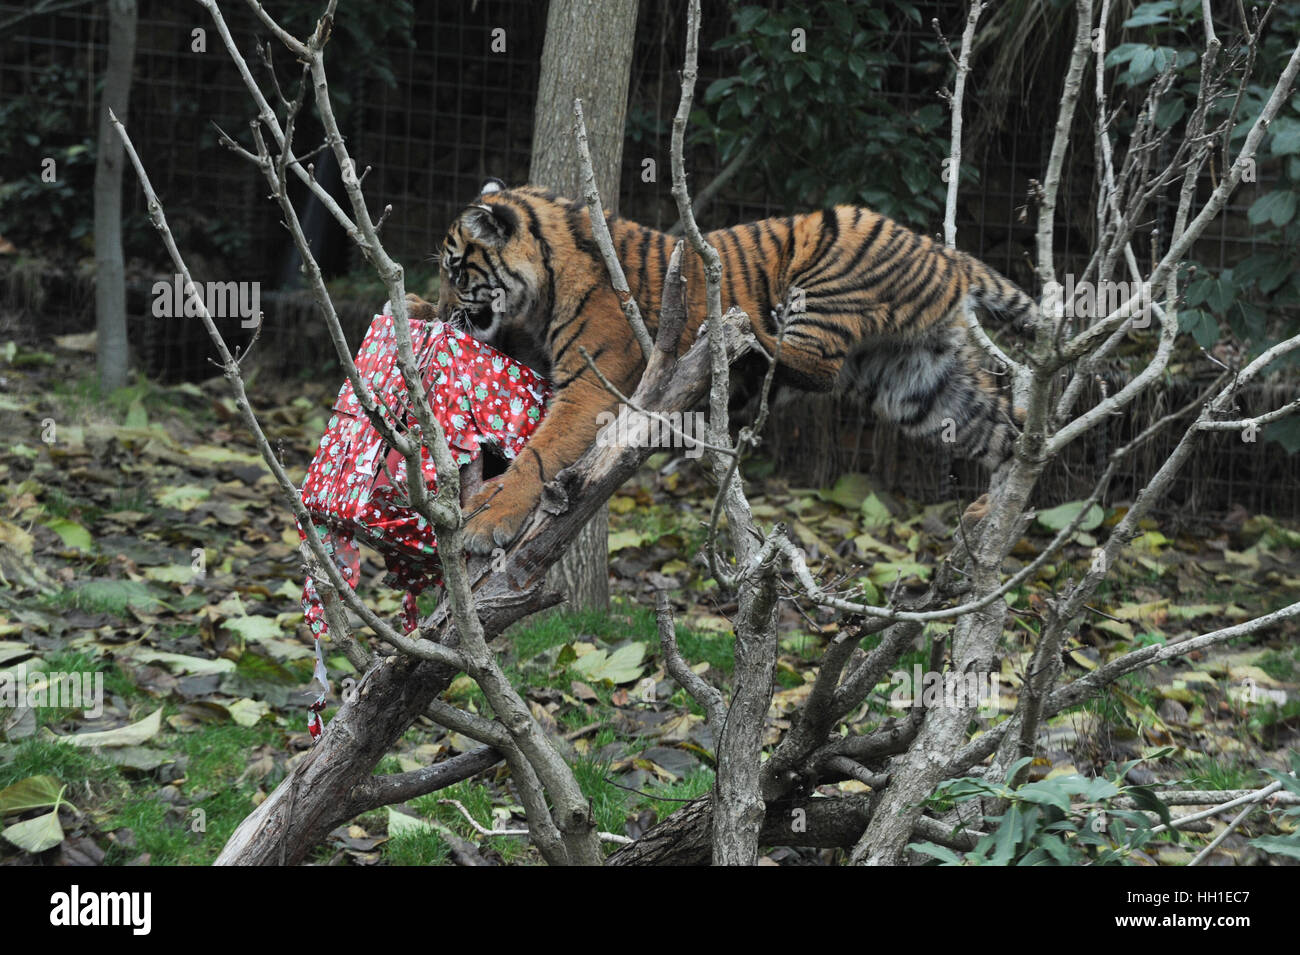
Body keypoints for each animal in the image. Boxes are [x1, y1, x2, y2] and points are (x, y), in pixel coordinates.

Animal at [397, 178, 1035, 555]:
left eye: (455, 268)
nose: (449, 311)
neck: (545, 283)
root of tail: (946, 255)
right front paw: (414, 308)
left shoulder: (589, 387)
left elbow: (540, 453)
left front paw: (487, 519)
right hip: (921, 384)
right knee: (1009, 435)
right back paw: (993, 512)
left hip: (829, 270)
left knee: (816, 364)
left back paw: (751, 333)